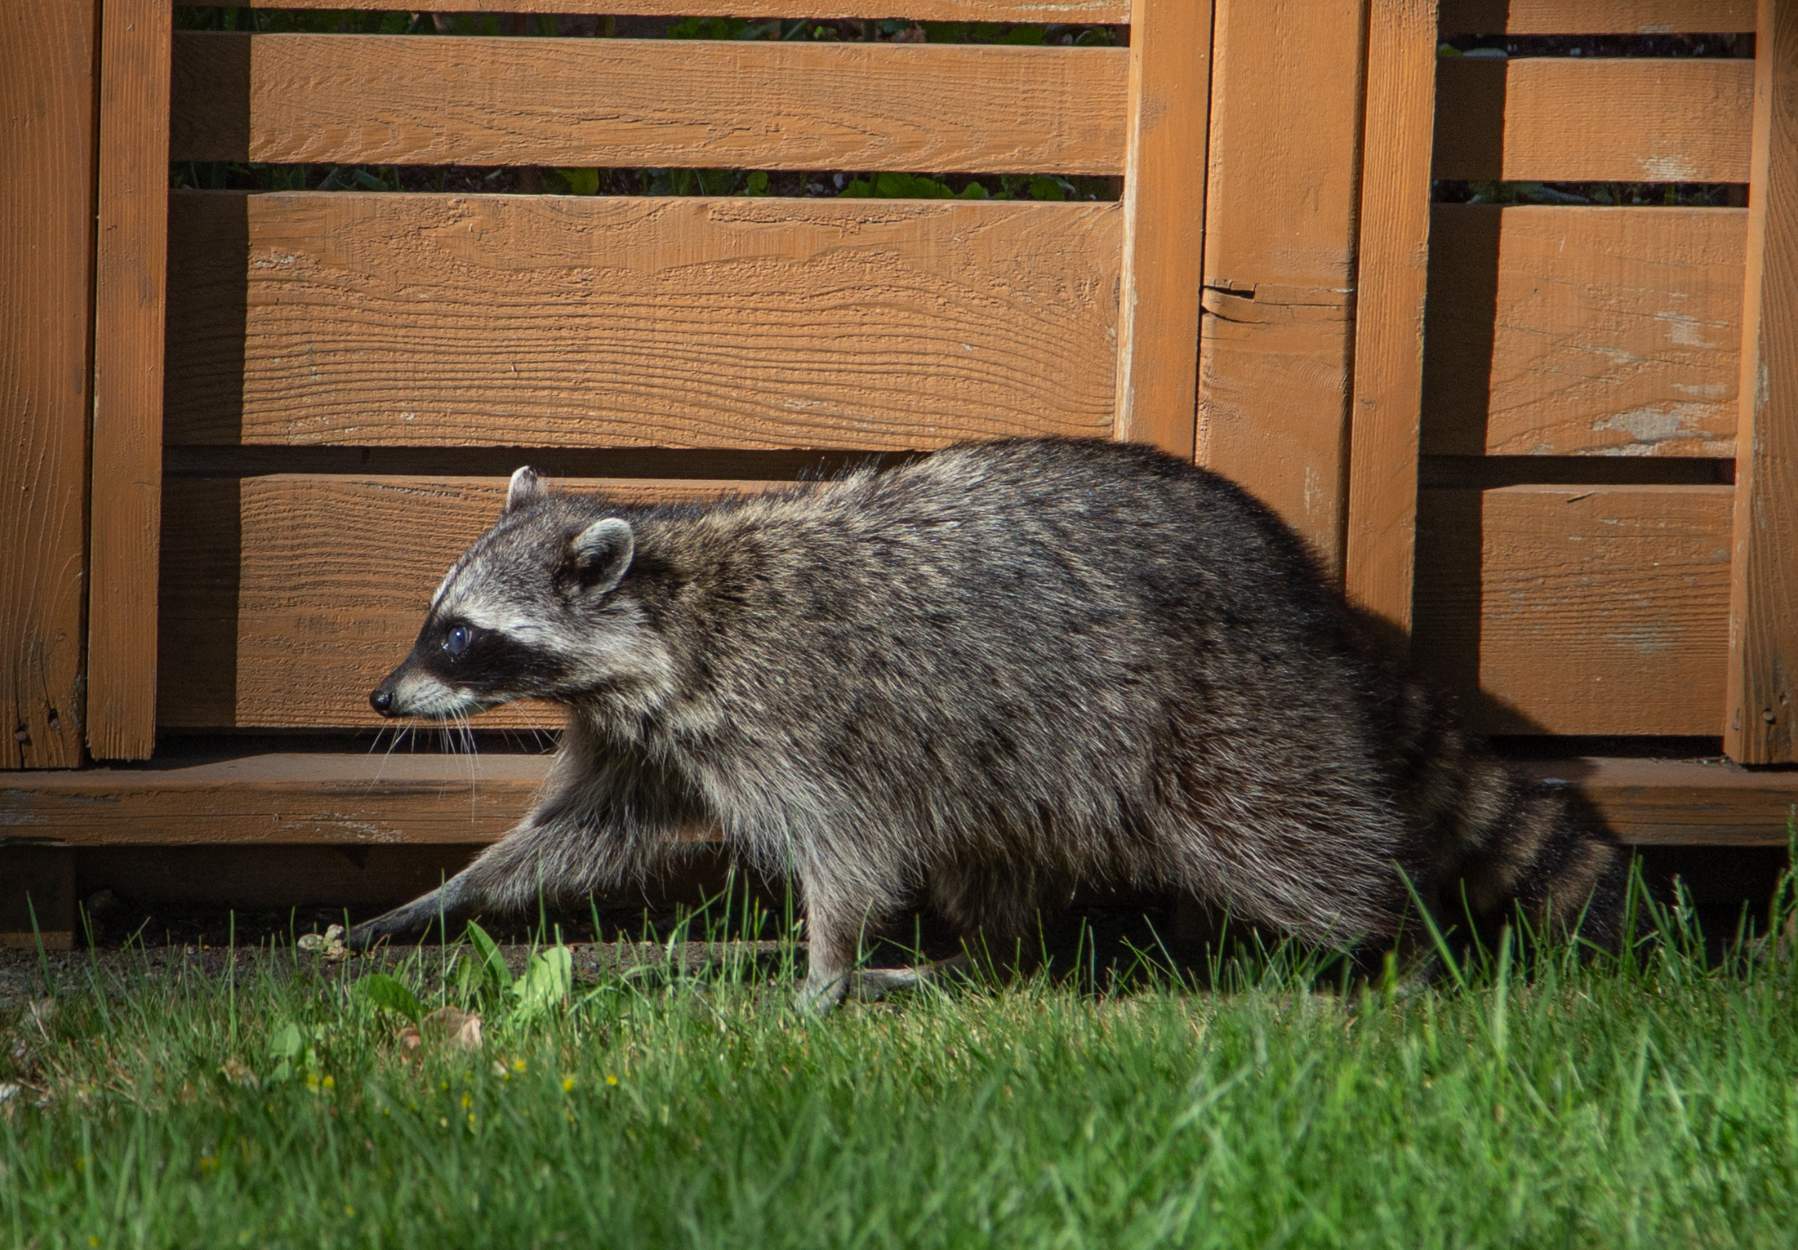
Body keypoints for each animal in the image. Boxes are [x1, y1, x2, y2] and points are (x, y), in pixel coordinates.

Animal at [351, 438, 1630, 1008]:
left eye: (458, 637)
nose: (380, 696)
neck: (669, 607)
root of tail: (1313, 597)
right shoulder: (649, 733)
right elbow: (576, 835)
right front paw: (434, 900)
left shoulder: (800, 720)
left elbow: (850, 852)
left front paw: (824, 967)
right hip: (1026, 754)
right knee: (995, 858)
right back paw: (980, 952)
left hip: (1223, 720)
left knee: (1292, 849)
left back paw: (1393, 933)